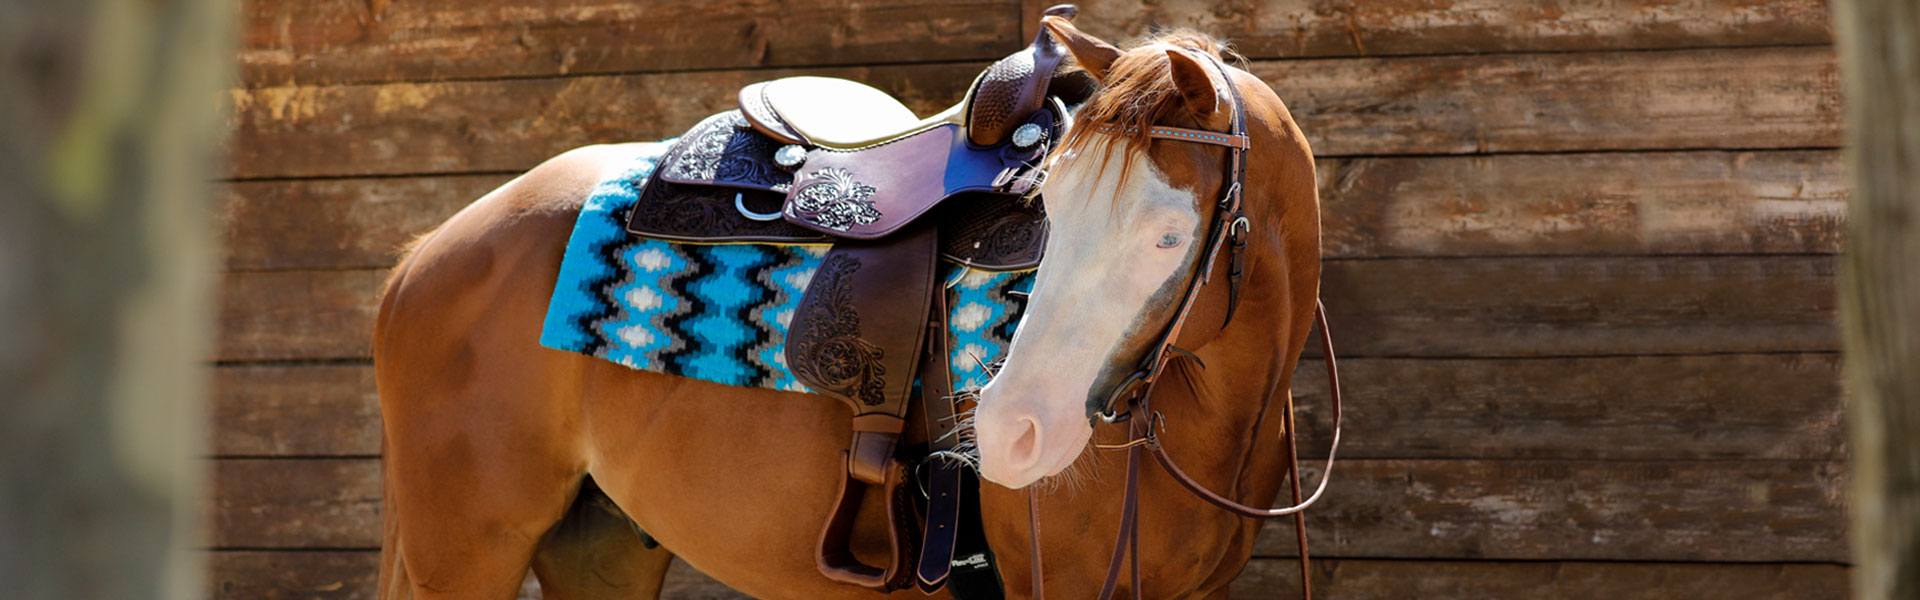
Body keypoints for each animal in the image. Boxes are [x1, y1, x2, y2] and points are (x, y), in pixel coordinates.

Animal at [373, 16, 1323, 599]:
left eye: (1167, 236)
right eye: (1047, 210)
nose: (1011, 432)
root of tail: (426, 254)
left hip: (596, 547)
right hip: (464, 551)